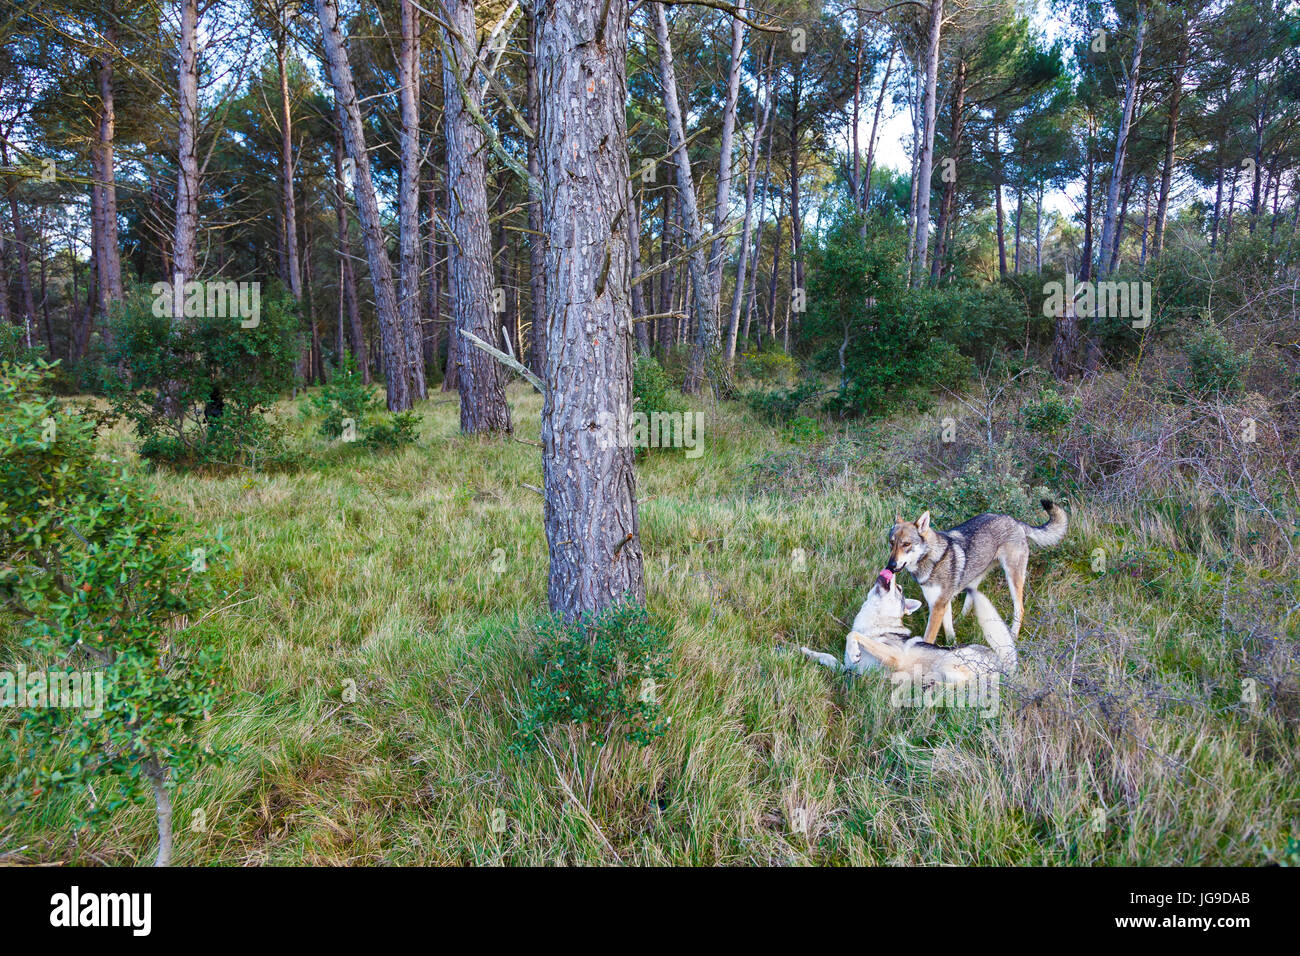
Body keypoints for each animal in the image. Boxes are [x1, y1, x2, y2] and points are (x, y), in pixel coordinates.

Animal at [887, 500, 1067, 644]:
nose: (890, 565)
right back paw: (961, 619)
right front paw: (952, 645)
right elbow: (949, 630)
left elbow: (928, 638)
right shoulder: (942, 604)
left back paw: (1013, 636)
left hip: (1013, 579)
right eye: (891, 543)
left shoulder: (937, 607)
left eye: (906, 544)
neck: (933, 559)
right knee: (970, 601)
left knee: (1020, 609)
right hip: (974, 579)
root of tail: (1015, 521)